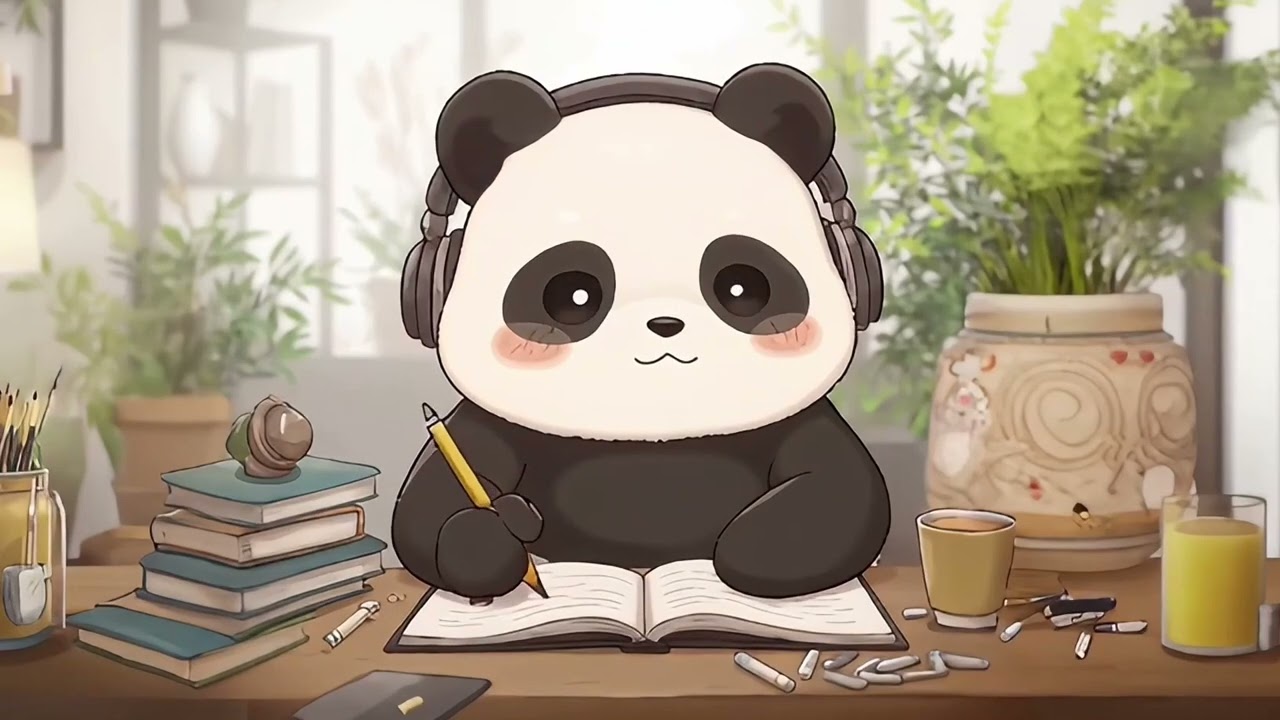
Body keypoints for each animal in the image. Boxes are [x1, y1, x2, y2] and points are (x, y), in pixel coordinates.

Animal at [390, 63, 891, 600]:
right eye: (573, 295)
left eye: (741, 287)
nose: (664, 325)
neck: (652, 425)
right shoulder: (488, 424)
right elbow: (431, 500)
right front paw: (486, 538)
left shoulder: (800, 420)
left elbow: (841, 484)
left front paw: (758, 546)